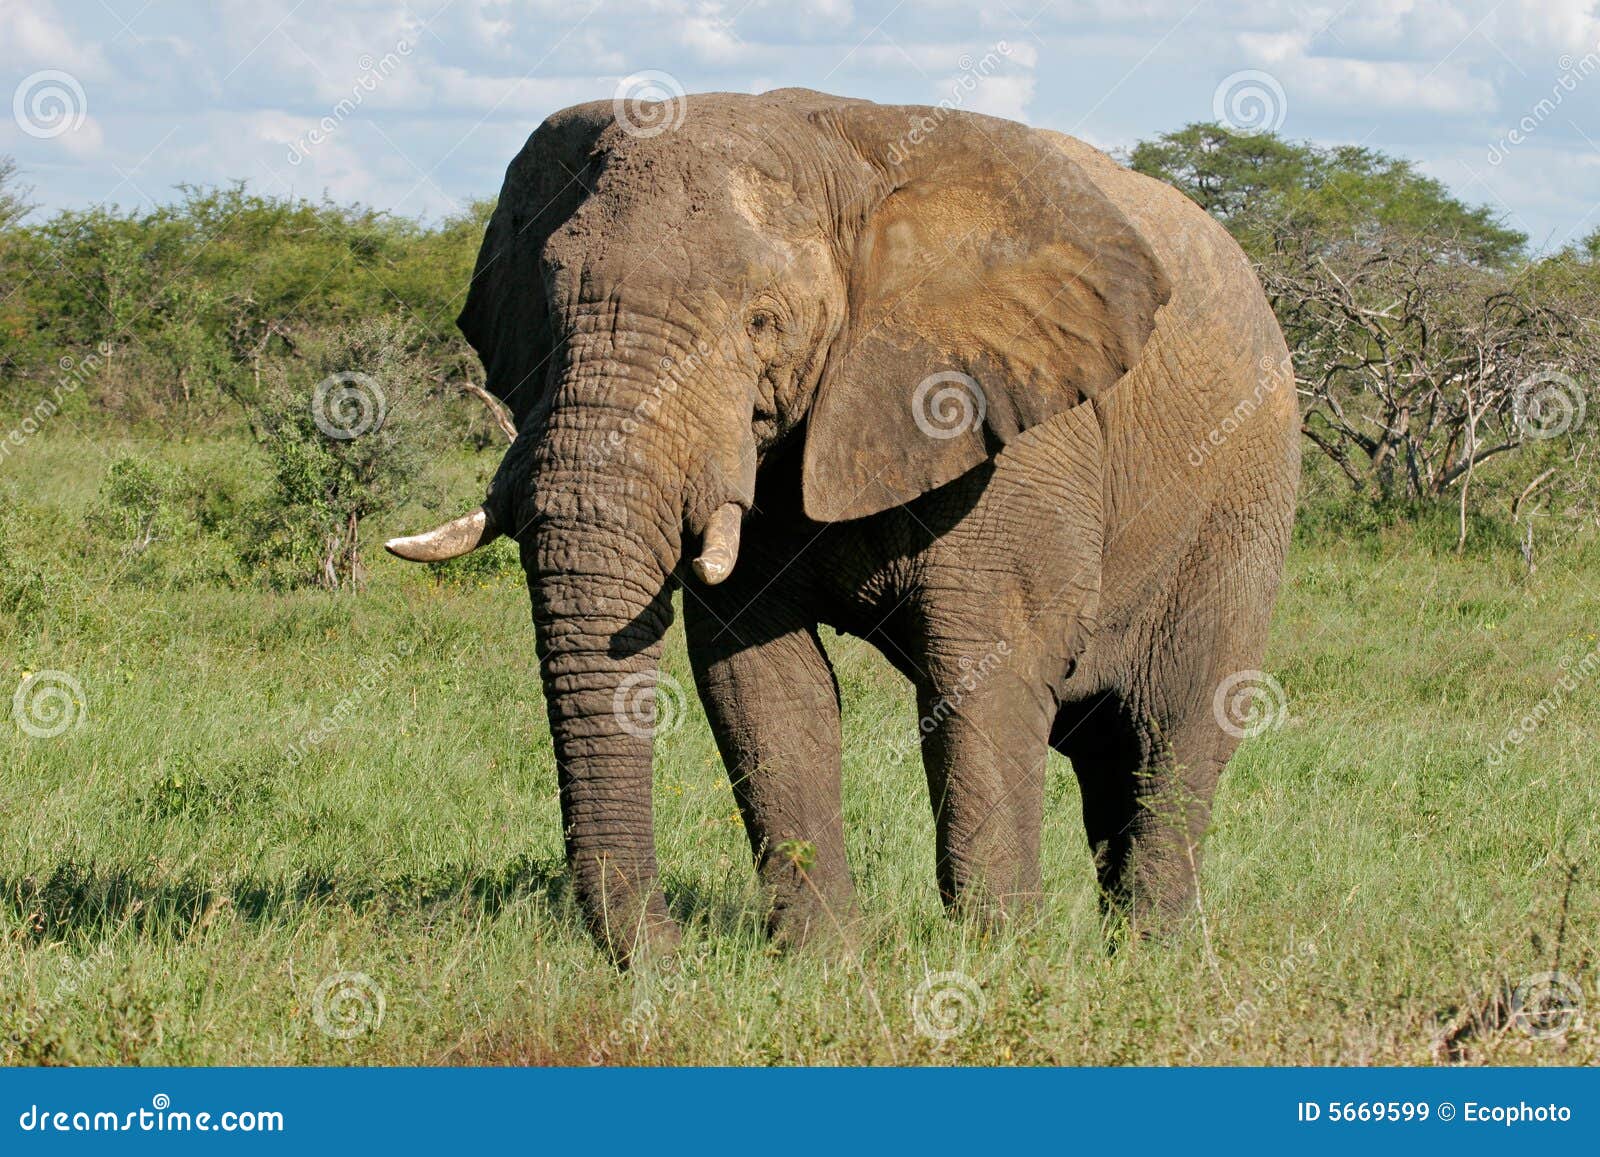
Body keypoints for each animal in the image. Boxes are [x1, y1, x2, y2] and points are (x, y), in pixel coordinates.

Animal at [387, 89, 1300, 965]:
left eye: (762, 320)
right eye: (549, 307)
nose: (667, 958)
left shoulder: (1020, 436)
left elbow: (985, 672)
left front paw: (999, 964)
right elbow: (757, 680)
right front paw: (821, 963)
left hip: (1242, 502)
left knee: (1175, 730)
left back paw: (1149, 960)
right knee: (1111, 756)